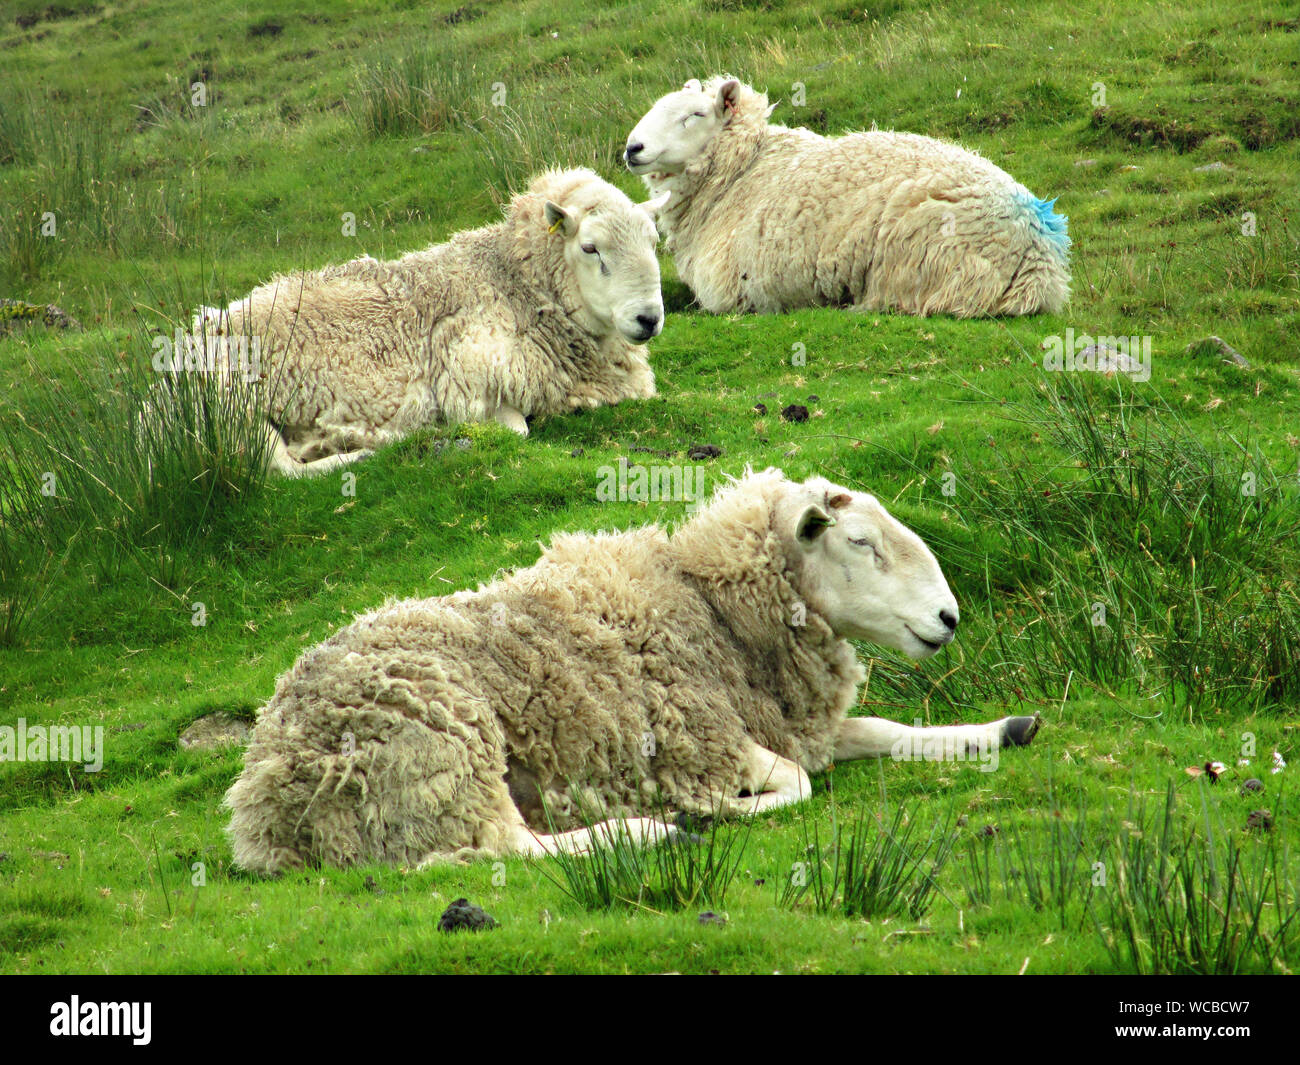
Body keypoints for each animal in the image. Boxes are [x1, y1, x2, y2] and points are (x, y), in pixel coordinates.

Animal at [193, 168, 669, 477]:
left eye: (654, 241)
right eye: (590, 248)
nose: (648, 318)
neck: (511, 281)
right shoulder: (465, 372)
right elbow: (515, 431)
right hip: (231, 409)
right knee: (278, 470)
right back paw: (363, 450)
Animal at [224, 468, 1041, 873]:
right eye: (863, 542)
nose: (950, 617)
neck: (713, 611)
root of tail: (264, 800)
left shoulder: (789, 724)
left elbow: (881, 728)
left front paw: (998, 730)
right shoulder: (703, 739)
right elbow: (798, 784)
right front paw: (711, 809)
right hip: (443, 755)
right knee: (504, 847)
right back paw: (654, 829)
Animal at [624, 76, 1070, 318]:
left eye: (694, 115)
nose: (632, 148)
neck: (741, 172)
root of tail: (1040, 250)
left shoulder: (730, 292)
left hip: (914, 261)